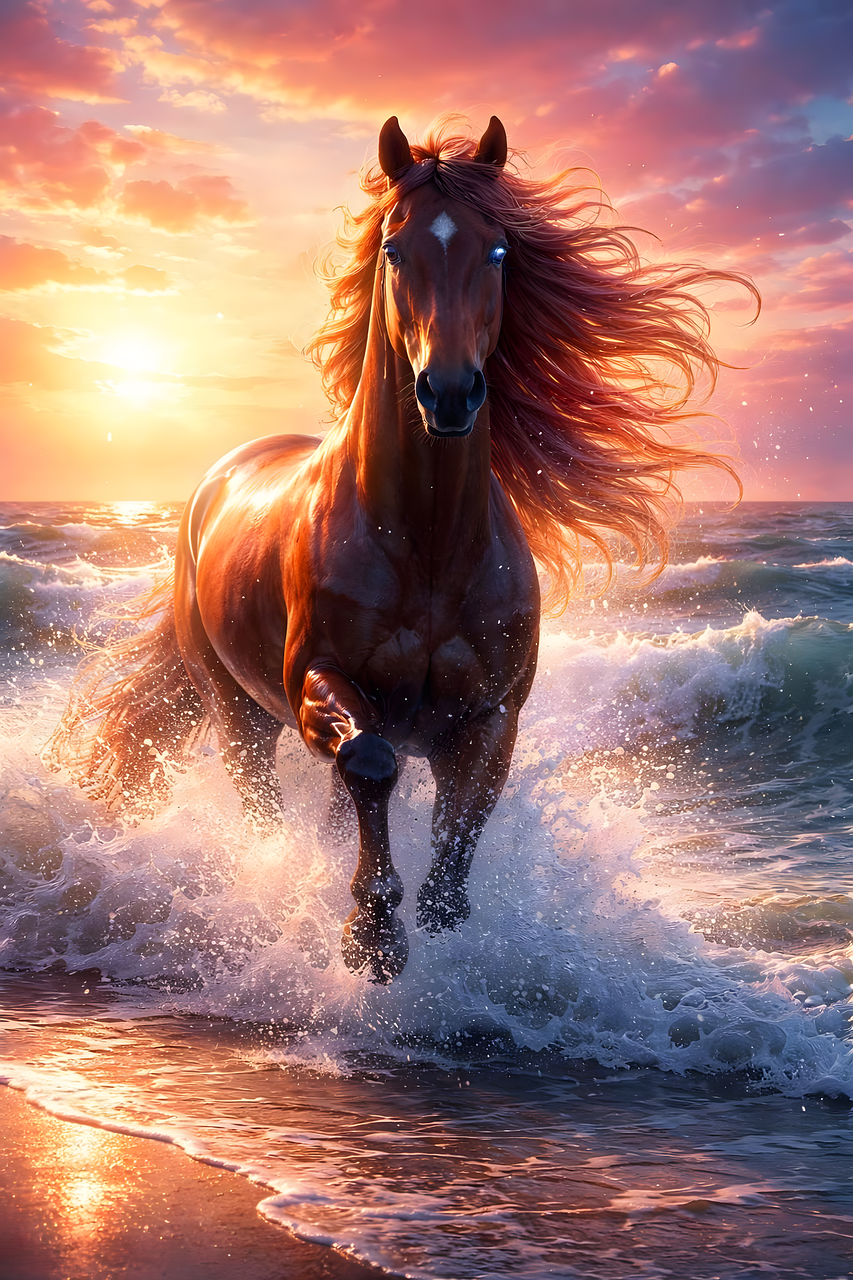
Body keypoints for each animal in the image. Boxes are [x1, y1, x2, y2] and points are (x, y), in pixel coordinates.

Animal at [51, 115, 758, 983]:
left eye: (498, 251)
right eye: (394, 249)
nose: (447, 392)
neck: (425, 544)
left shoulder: (489, 716)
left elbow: (454, 847)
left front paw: (432, 928)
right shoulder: (321, 683)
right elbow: (371, 764)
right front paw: (372, 933)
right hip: (236, 710)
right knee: (270, 807)